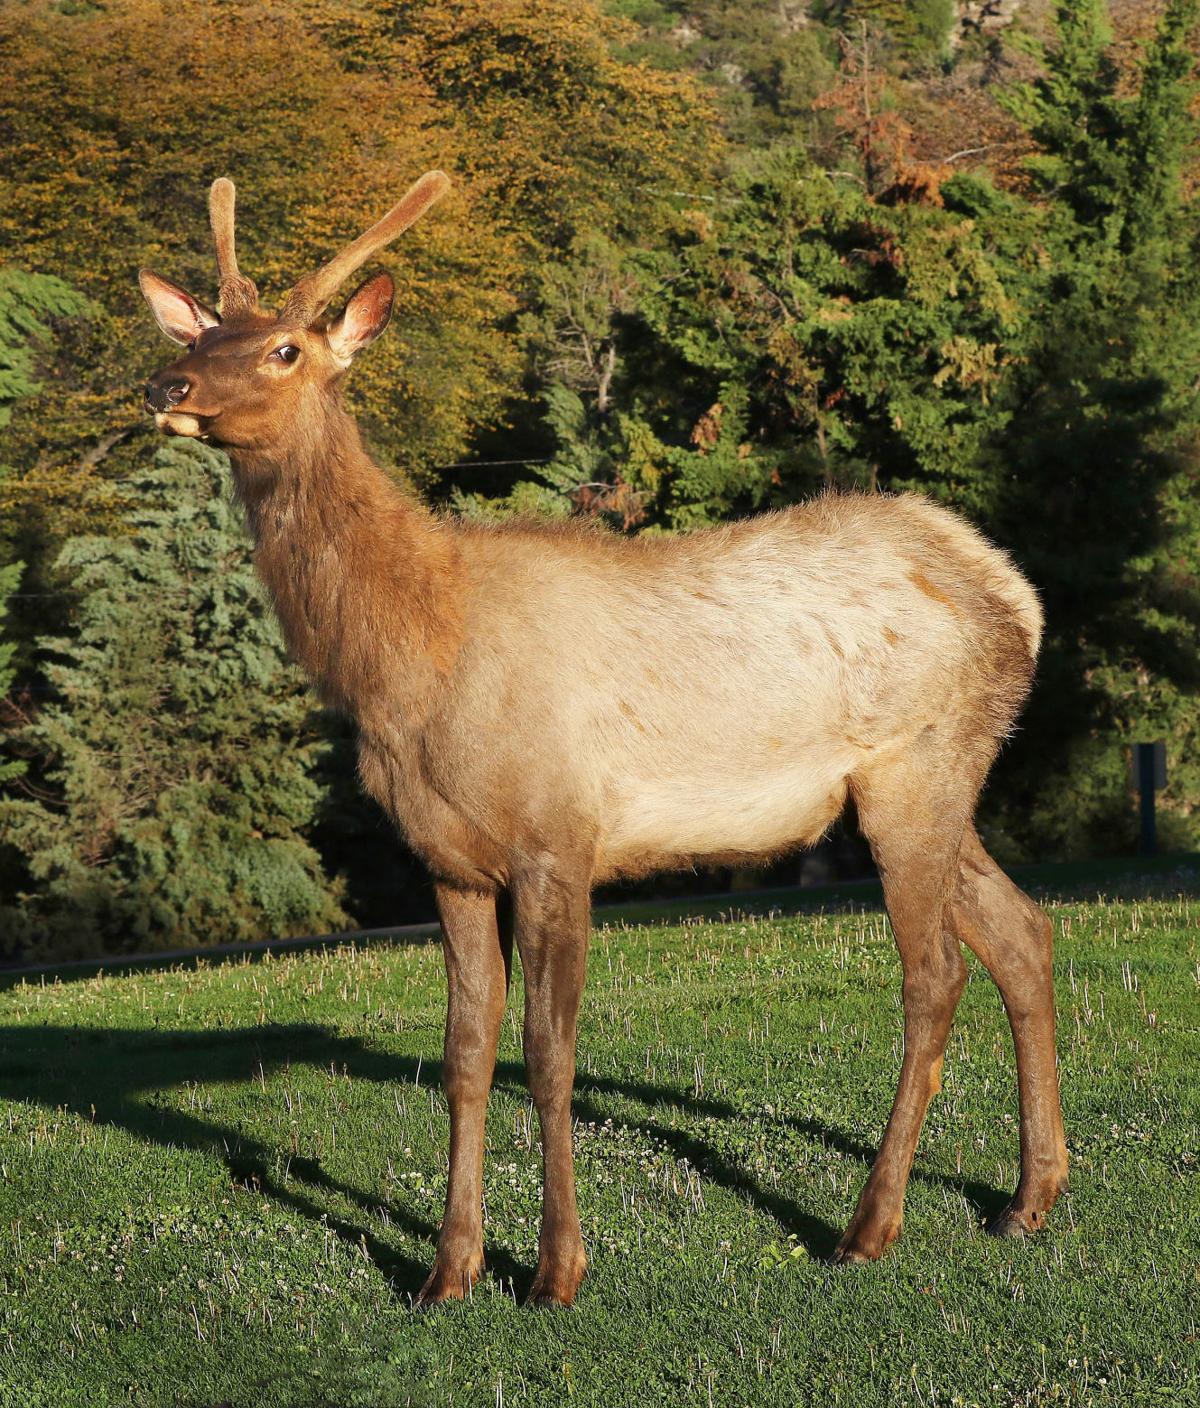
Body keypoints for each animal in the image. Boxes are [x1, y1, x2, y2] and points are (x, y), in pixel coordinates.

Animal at [139, 171, 1069, 1309]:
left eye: (284, 349)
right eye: (207, 329)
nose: (168, 382)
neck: (409, 663)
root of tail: (1018, 599)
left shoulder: (558, 837)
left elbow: (548, 1053)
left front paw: (556, 1269)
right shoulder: (447, 860)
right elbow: (463, 1055)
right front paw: (447, 1272)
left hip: (914, 768)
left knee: (935, 972)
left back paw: (870, 1226)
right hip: (937, 783)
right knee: (1022, 929)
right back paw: (1028, 1199)